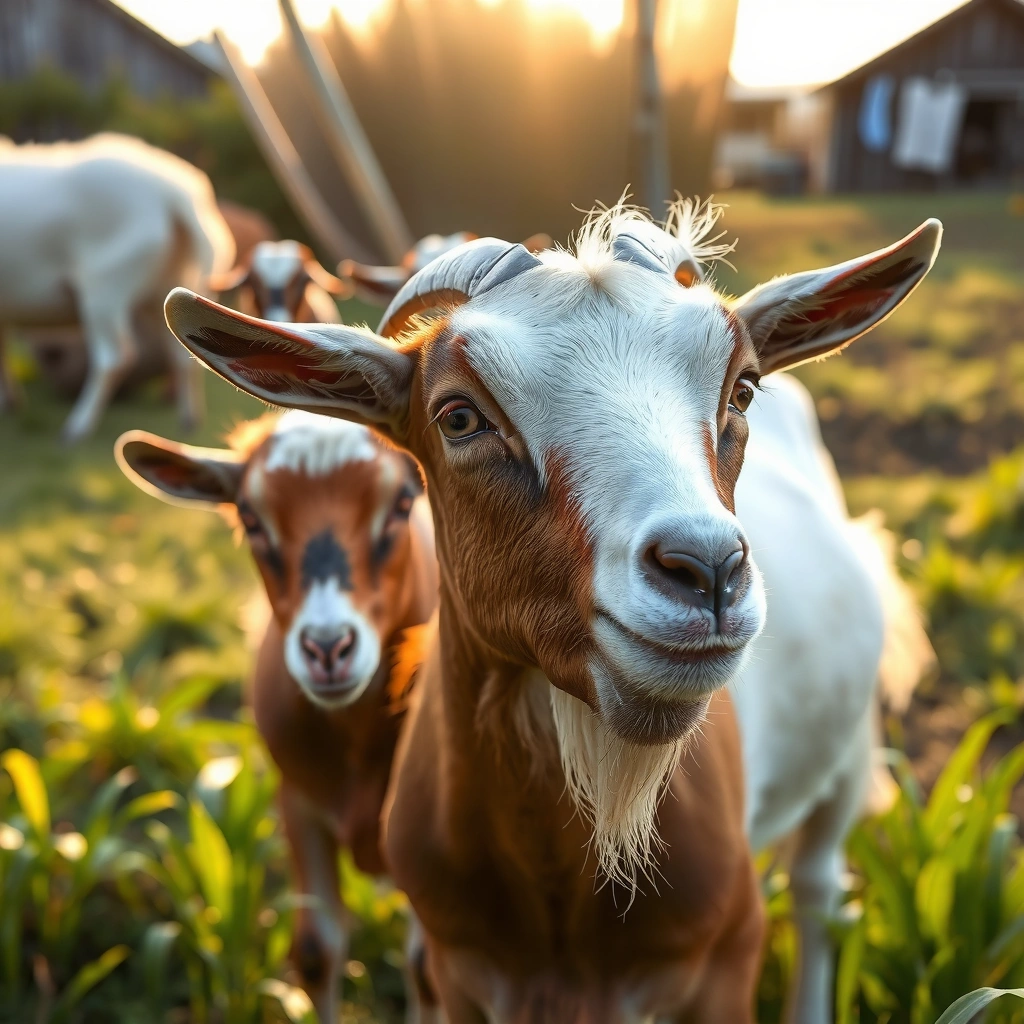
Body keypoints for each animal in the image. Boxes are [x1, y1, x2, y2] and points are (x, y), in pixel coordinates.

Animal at [0, 133, 235, 441]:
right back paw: (189, 421)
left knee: (115, 357)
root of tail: (172, 194)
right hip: (163, 290)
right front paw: (10, 404)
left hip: (105, 288)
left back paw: (76, 428)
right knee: (180, 355)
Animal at [115, 412, 438, 1024]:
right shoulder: (299, 801)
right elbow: (315, 951)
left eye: (403, 502)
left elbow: (426, 970)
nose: (328, 647)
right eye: (250, 517)